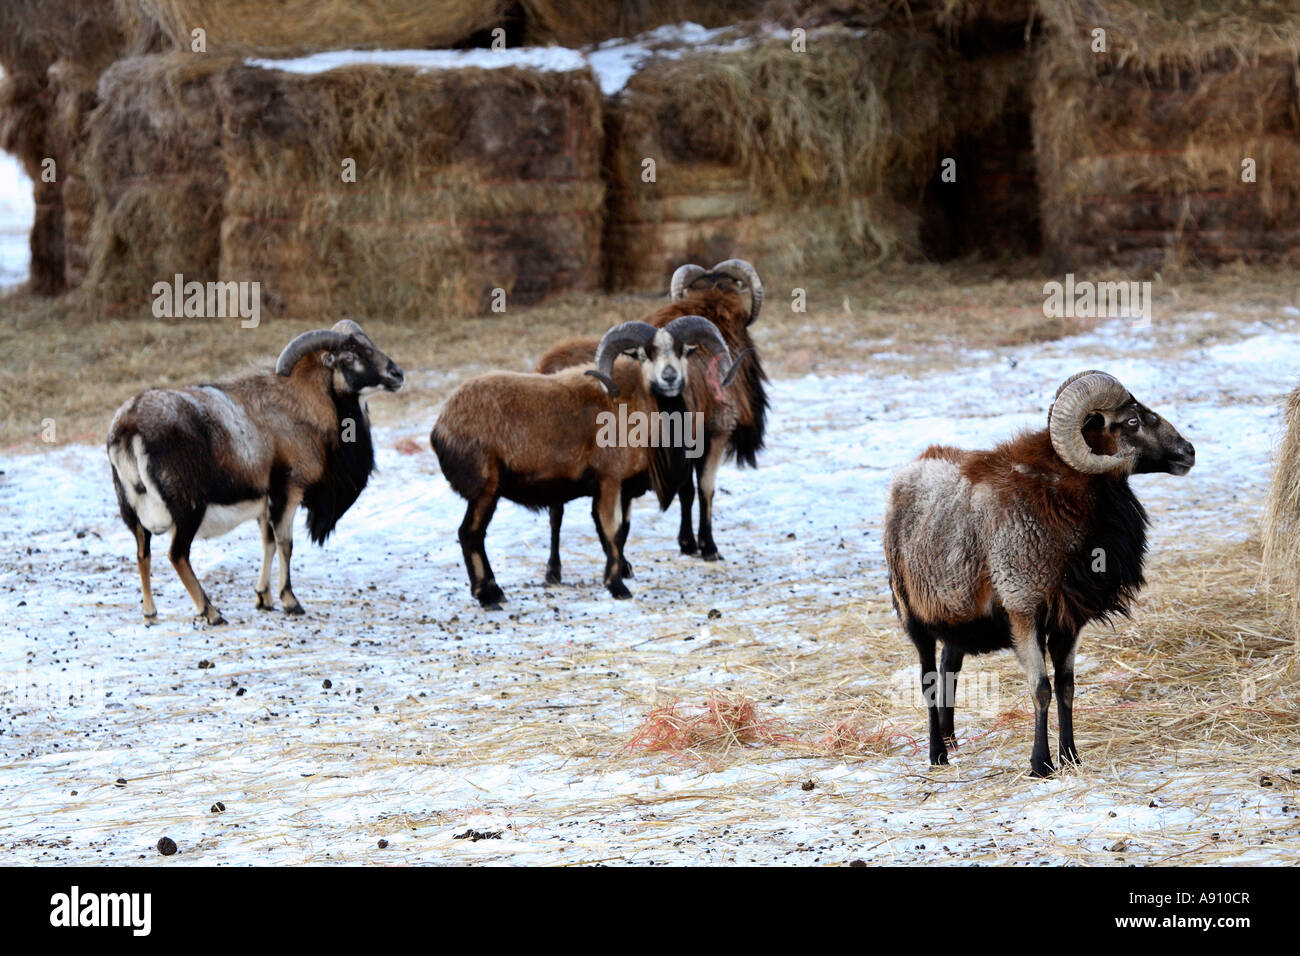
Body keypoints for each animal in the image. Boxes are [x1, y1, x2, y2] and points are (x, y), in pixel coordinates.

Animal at [107, 320, 404, 625]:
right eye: (349, 356)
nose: (397, 374)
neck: (302, 405)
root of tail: (129, 428)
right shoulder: (288, 492)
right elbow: (285, 543)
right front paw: (290, 601)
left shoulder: (264, 504)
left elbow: (267, 543)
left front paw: (264, 599)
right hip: (188, 511)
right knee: (177, 555)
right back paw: (211, 612)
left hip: (133, 513)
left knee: (143, 554)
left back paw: (150, 612)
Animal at [431, 315, 749, 609]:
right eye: (646, 354)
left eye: (682, 351)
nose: (669, 377)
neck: (636, 404)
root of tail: (442, 426)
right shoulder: (609, 481)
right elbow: (610, 529)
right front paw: (617, 586)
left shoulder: (622, 488)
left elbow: (620, 532)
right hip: (485, 490)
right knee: (470, 534)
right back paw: (487, 596)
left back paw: (495, 592)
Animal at [536, 259, 767, 583]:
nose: (669, 377)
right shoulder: (715, 435)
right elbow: (705, 490)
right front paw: (708, 548)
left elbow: (687, 490)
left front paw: (688, 544)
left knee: (557, 510)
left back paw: (554, 571)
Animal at [882, 370, 1195, 776]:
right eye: (1132, 421)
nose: (1188, 452)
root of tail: (911, 468)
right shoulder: (1022, 610)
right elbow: (1041, 689)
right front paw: (1041, 764)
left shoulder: (1069, 618)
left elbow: (1066, 688)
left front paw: (1071, 757)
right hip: (913, 614)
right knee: (929, 680)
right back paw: (938, 754)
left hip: (958, 617)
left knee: (950, 667)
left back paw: (951, 741)